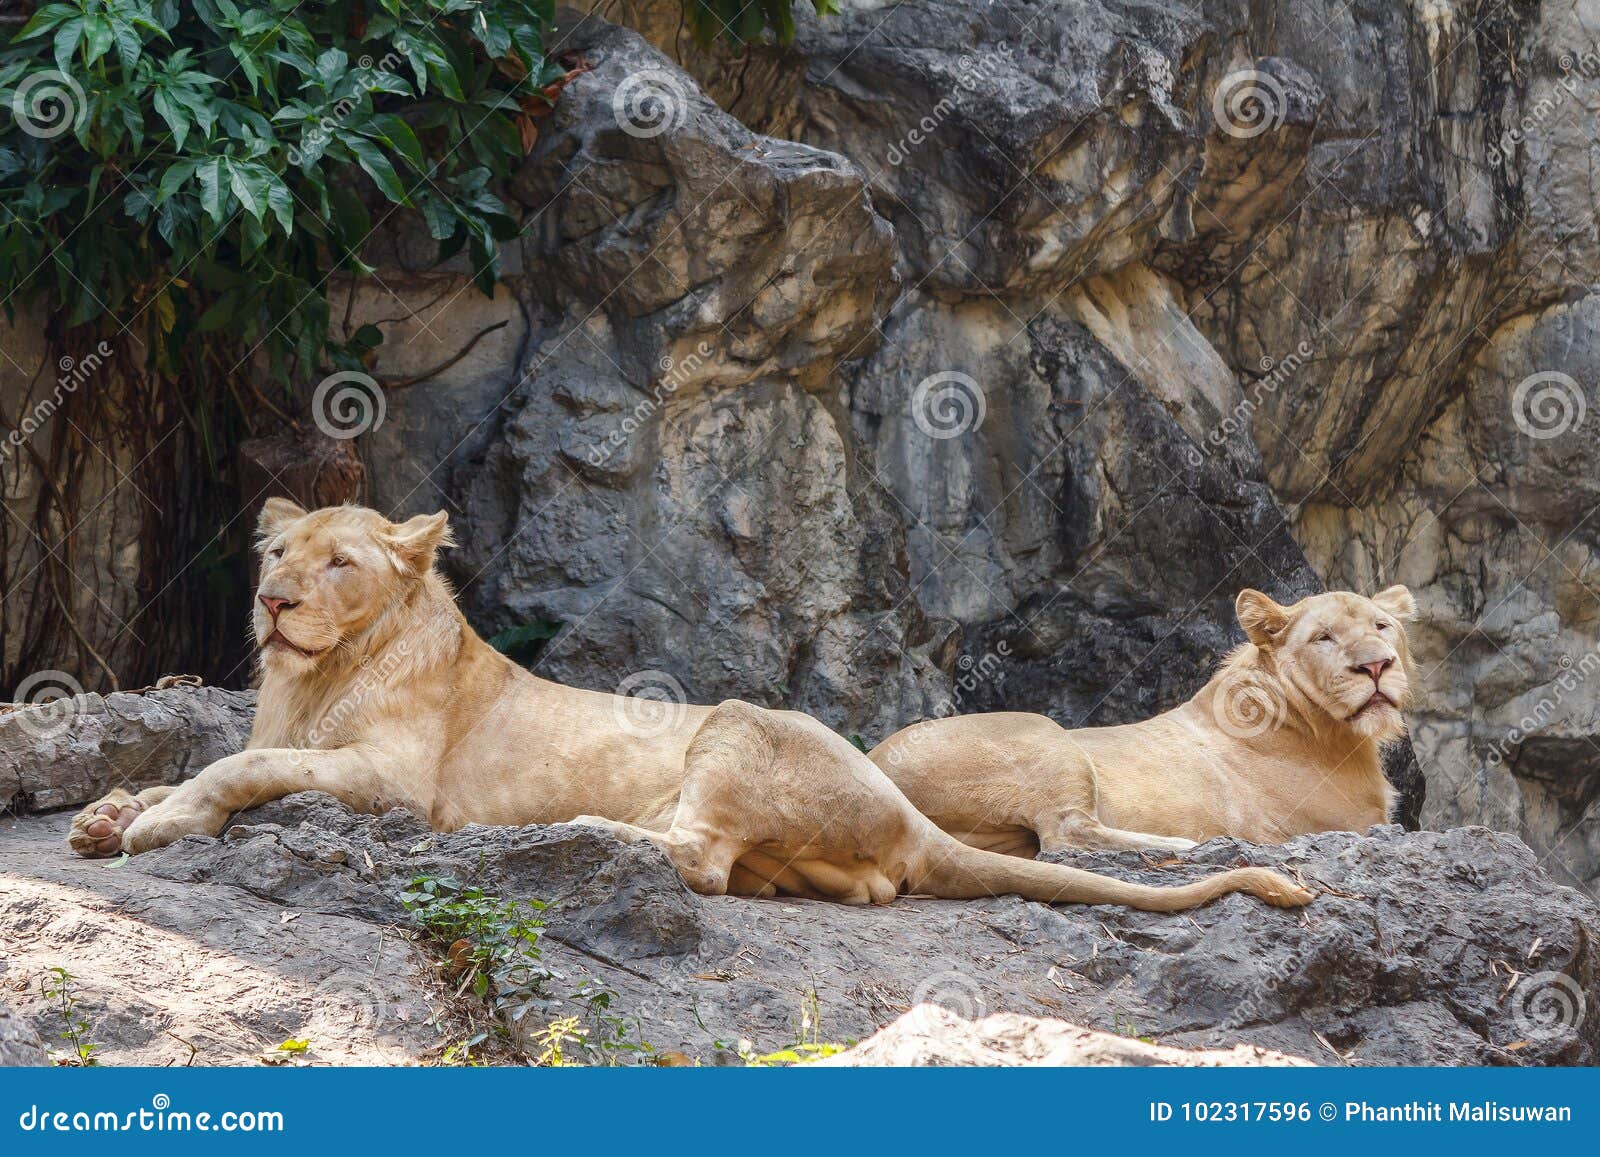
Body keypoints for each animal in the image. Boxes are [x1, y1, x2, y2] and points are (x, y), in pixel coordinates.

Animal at [67, 500, 1312, 912]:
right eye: (278, 553)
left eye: (338, 563)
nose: (273, 601)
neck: (309, 675)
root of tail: (907, 812)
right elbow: (200, 758)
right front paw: (105, 810)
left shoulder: (393, 783)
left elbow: (235, 768)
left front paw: (160, 821)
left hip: (730, 725)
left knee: (697, 858)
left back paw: (579, 831)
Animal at [868, 587, 1417, 856]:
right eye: (1323, 637)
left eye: (1382, 626)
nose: (1376, 666)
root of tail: (874, 761)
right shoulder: (1344, 822)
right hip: (1046, 736)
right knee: (1066, 833)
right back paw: (1189, 843)